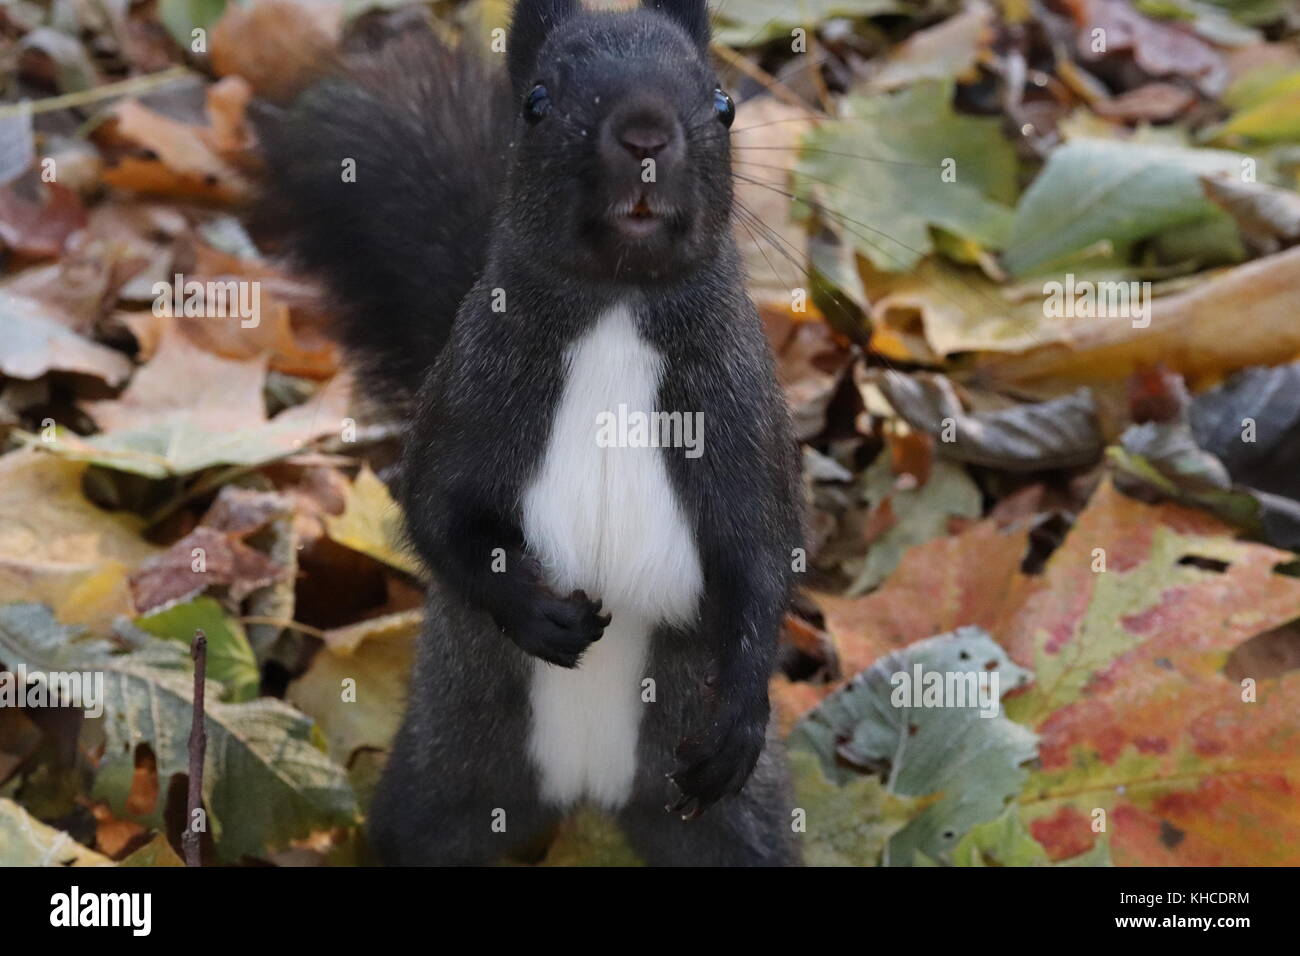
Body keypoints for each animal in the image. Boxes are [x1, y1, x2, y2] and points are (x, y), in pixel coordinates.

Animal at [255, 0, 805, 865]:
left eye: (723, 104)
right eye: (537, 103)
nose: (645, 133)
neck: (617, 303)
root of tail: (586, 792)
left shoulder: (743, 417)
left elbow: (761, 557)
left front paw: (740, 717)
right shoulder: (470, 394)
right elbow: (439, 515)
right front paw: (536, 611)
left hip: (724, 823)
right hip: (445, 781)